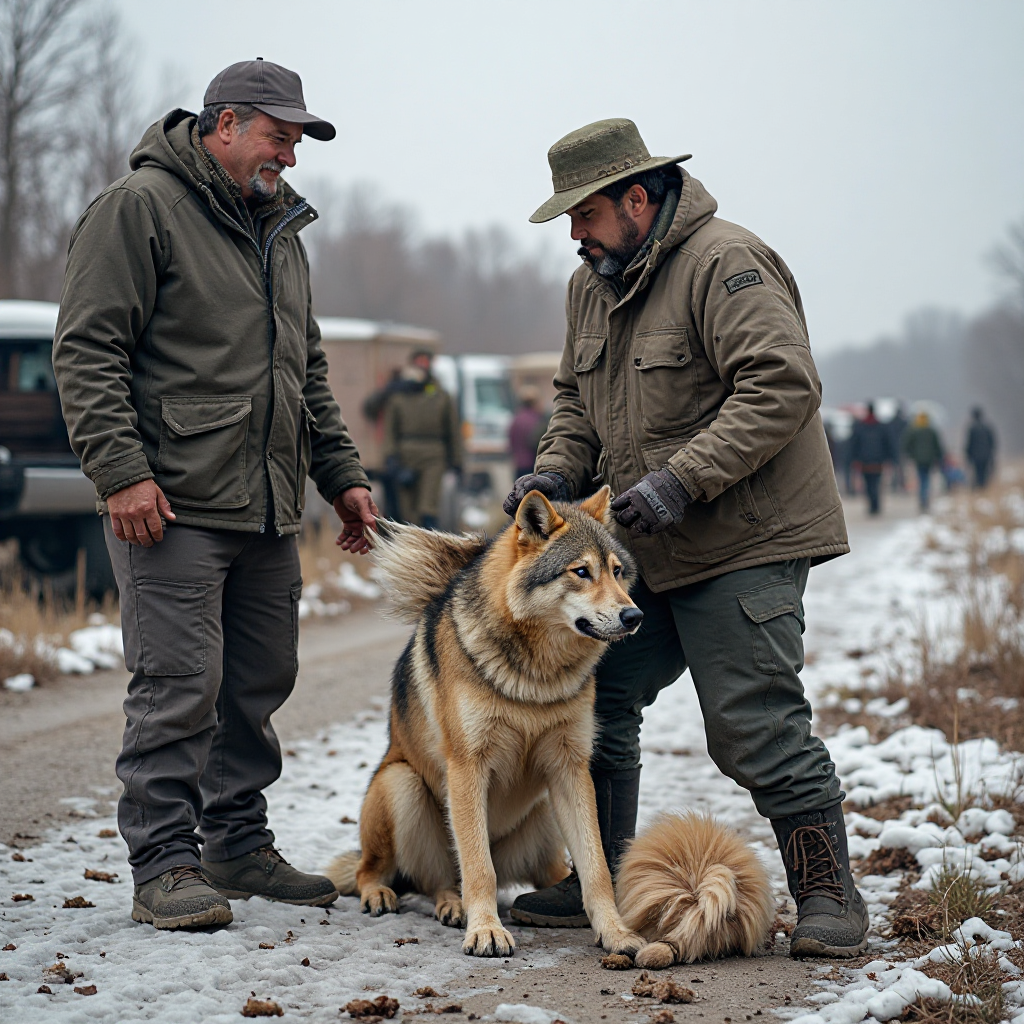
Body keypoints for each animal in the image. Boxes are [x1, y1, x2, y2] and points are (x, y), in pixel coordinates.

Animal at [327, 486, 647, 958]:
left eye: (617, 571)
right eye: (581, 572)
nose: (635, 617)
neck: (536, 679)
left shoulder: (570, 767)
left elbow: (597, 867)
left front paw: (616, 933)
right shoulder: (467, 766)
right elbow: (480, 867)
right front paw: (486, 932)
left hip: (545, 810)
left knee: (543, 871)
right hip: (401, 785)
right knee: (400, 875)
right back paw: (411, 900)